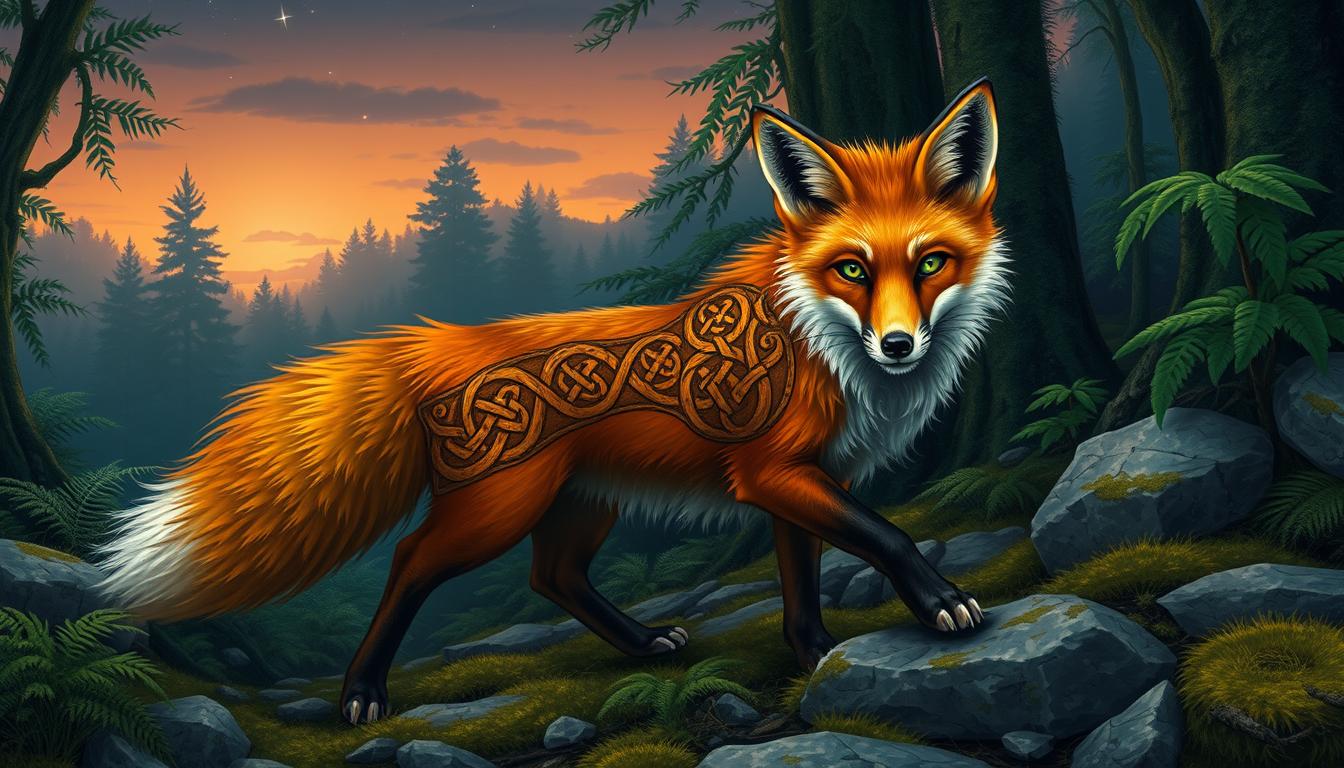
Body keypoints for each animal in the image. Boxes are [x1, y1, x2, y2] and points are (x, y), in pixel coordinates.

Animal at [98, 79, 1009, 725]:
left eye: (930, 263)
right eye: (851, 269)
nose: (898, 346)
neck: (818, 343)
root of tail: (437, 340)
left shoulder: (801, 480)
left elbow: (805, 577)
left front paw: (814, 650)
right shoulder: (774, 473)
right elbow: (885, 534)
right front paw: (941, 604)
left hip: (582, 504)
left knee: (554, 575)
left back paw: (641, 642)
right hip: (495, 510)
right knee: (413, 560)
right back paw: (362, 690)